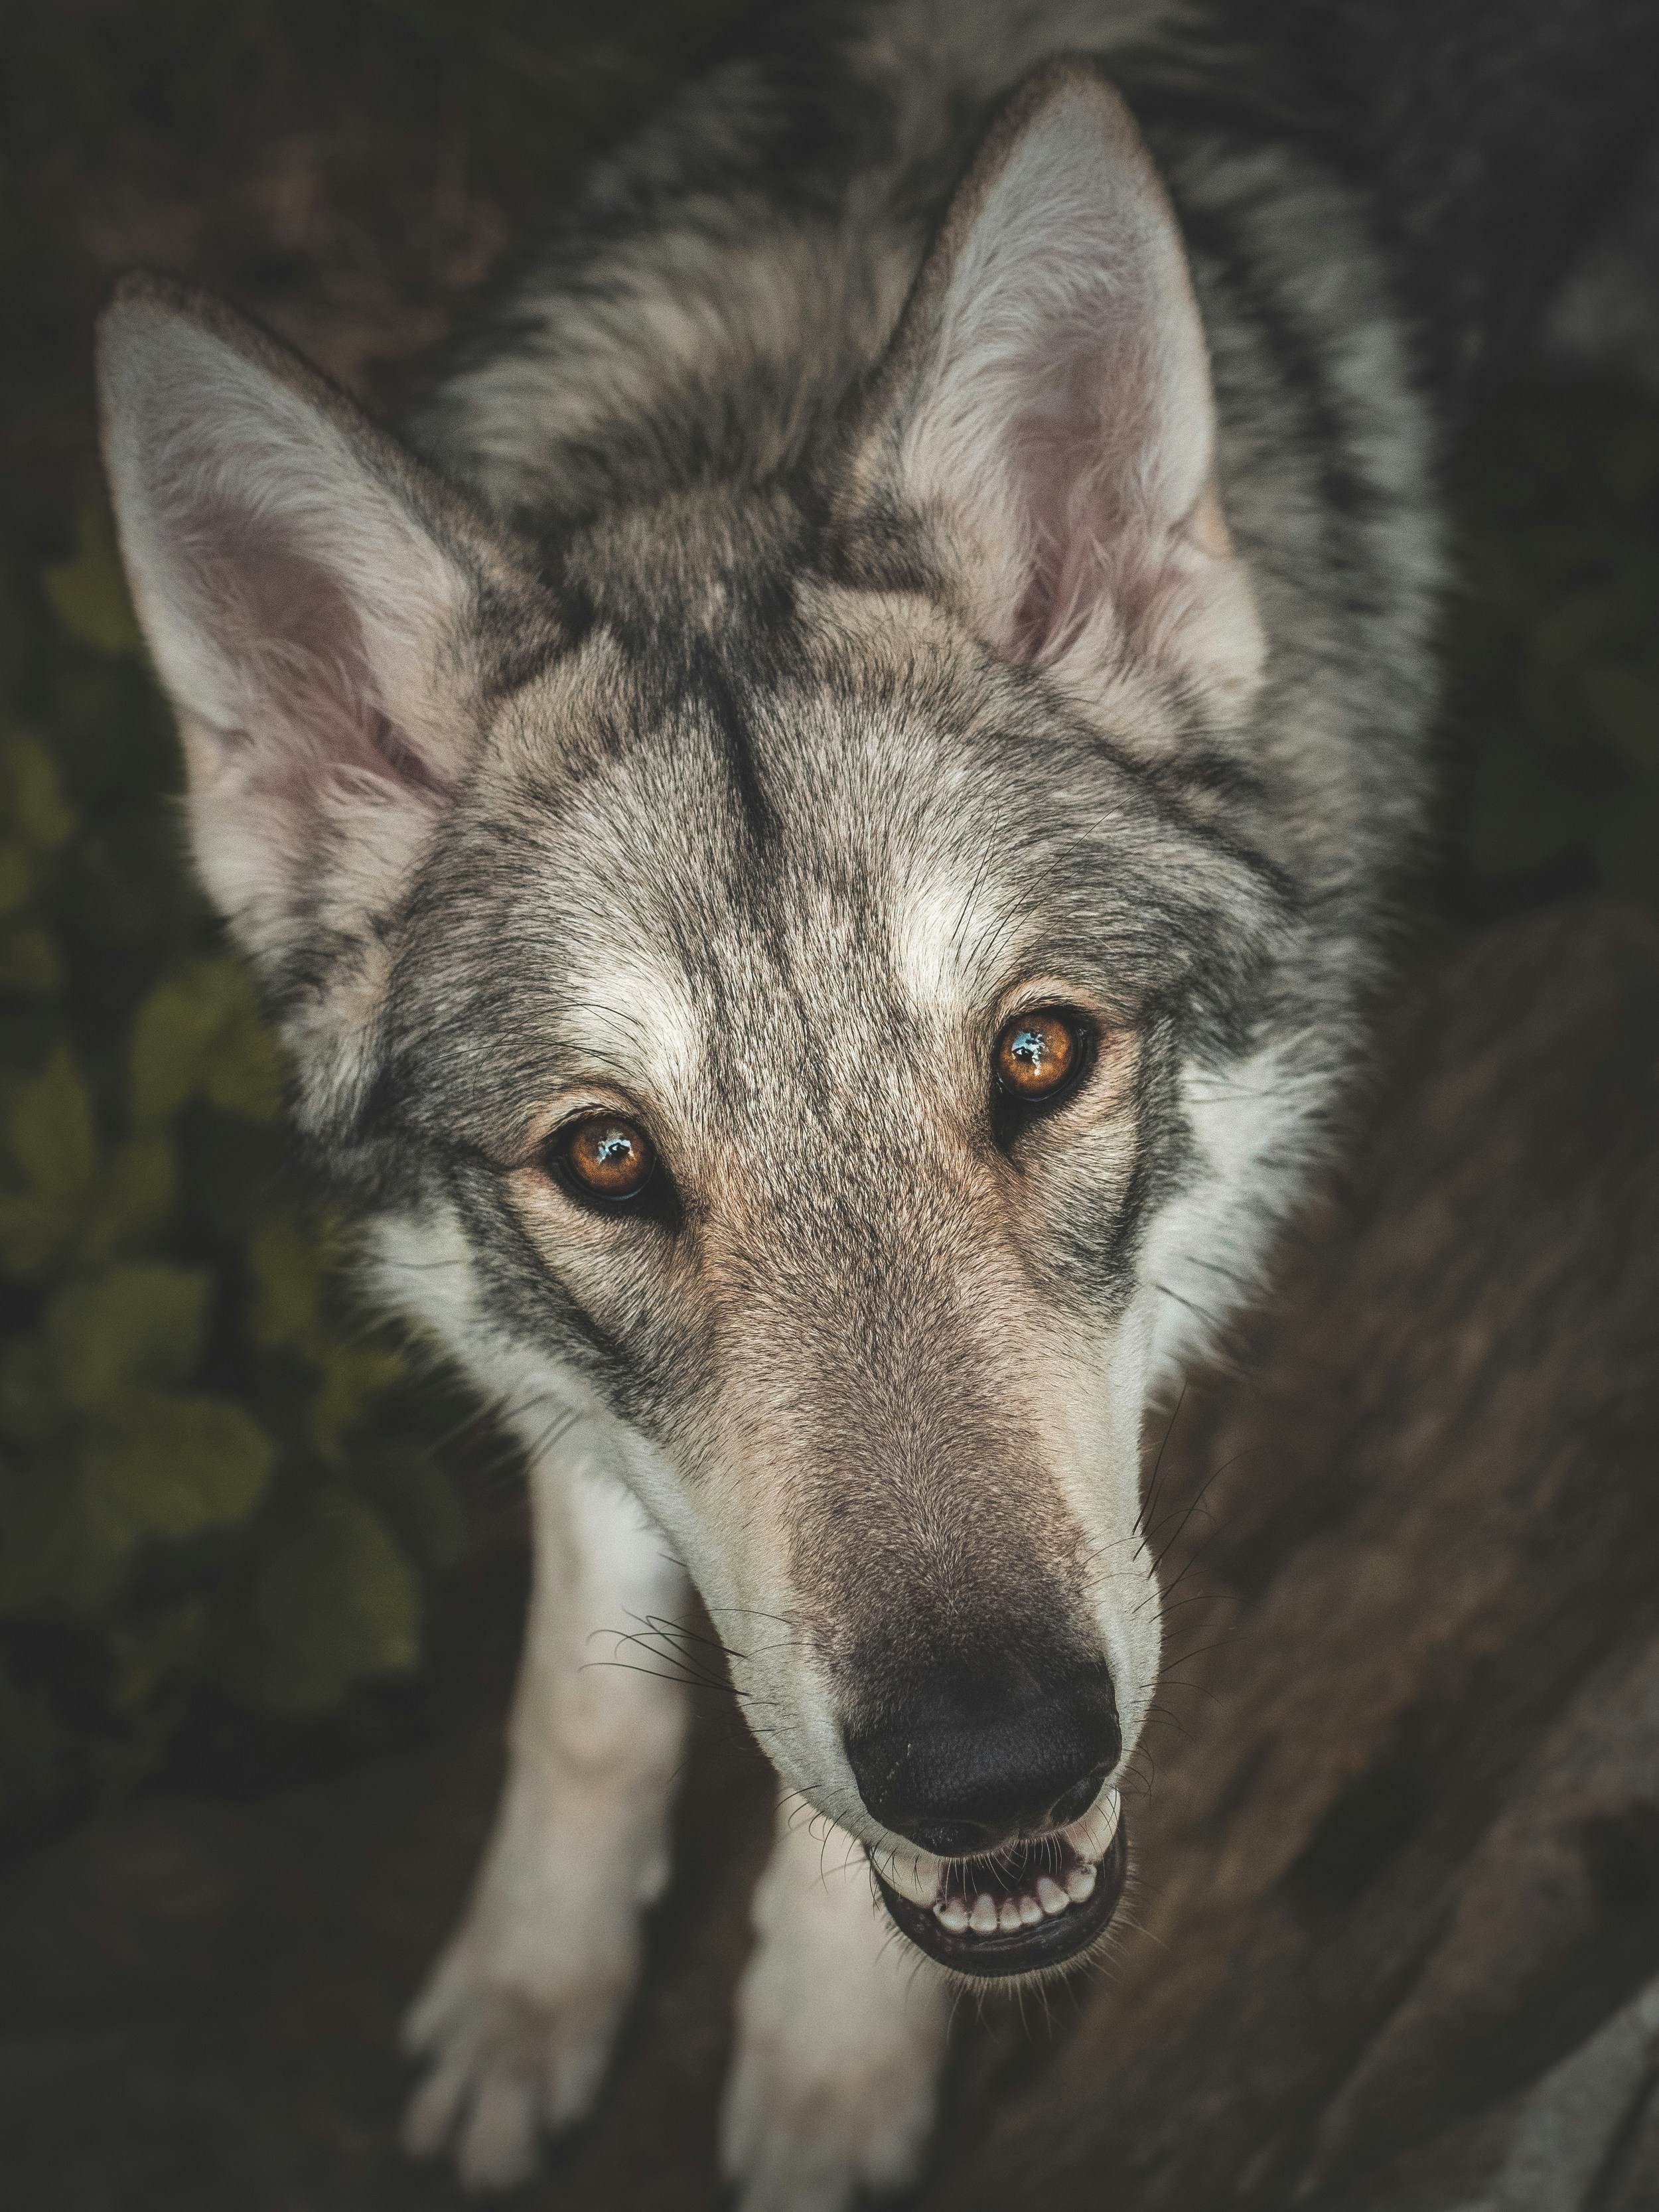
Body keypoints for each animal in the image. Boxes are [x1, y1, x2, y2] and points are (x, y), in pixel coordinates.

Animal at [94, 0, 1659, 2202]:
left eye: (1035, 1057)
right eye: (607, 1159)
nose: (994, 1765)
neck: (759, 382)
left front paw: (828, 2068)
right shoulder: (550, 1375)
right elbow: (585, 1697)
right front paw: (530, 1991)